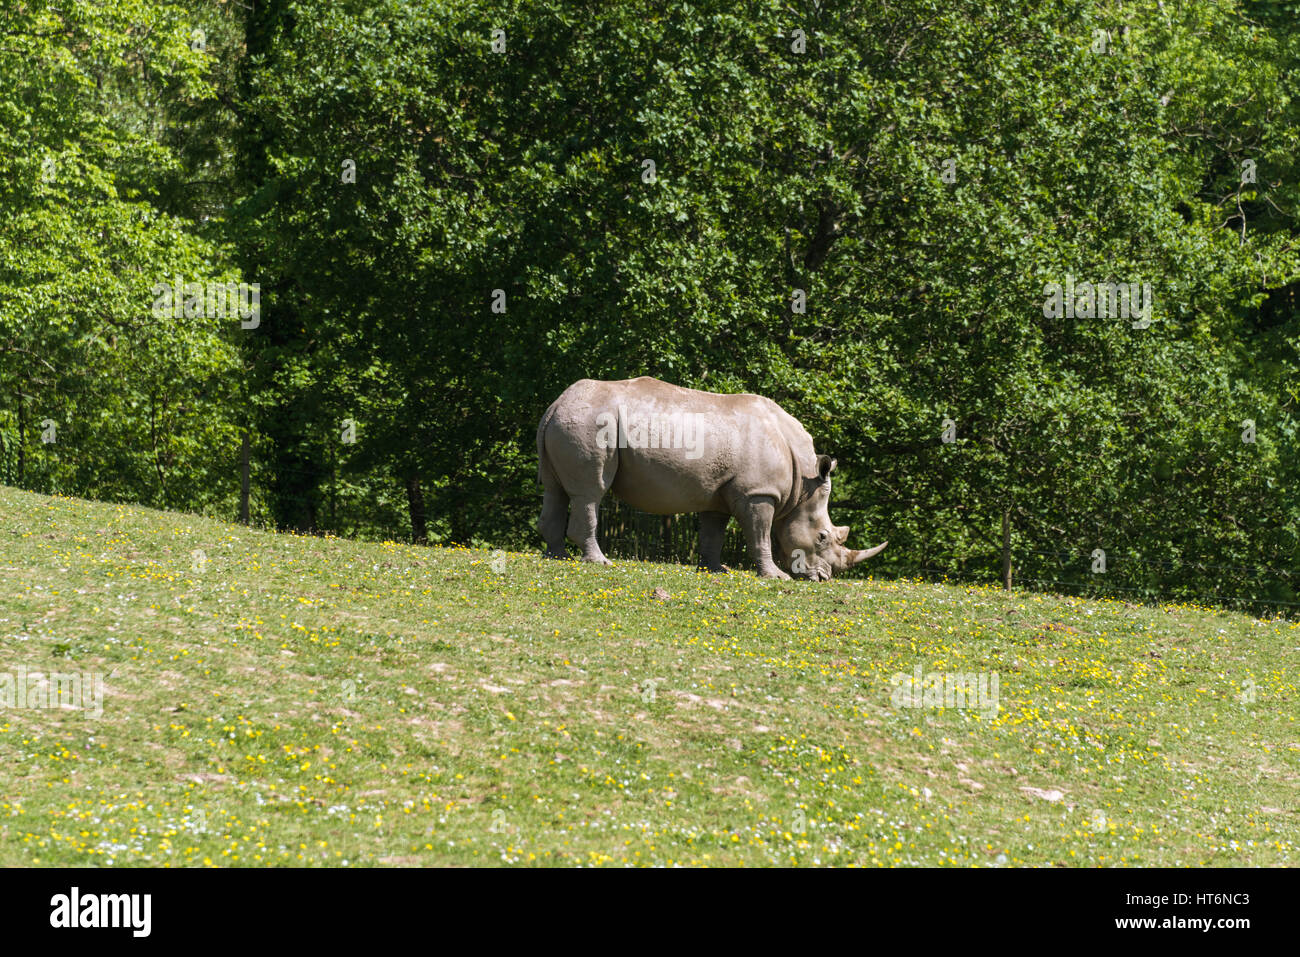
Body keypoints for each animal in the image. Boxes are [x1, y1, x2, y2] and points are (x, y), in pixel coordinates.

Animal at [536, 377, 886, 580]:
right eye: (823, 537)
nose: (824, 577)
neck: (803, 483)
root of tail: (556, 404)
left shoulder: (720, 492)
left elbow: (713, 533)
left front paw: (715, 570)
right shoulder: (759, 493)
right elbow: (760, 535)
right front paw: (776, 577)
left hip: (572, 420)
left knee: (555, 489)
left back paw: (557, 556)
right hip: (591, 423)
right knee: (591, 492)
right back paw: (600, 562)